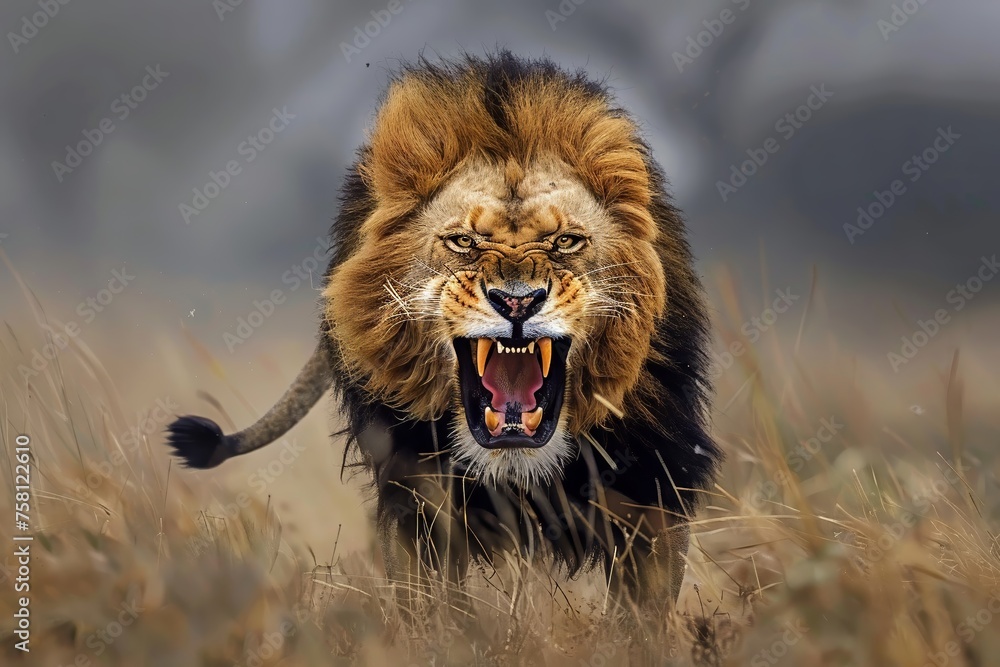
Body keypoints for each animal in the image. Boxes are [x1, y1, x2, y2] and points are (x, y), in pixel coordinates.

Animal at [166, 51, 721, 610]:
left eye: (565, 241)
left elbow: (643, 612)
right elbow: (429, 610)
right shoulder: (413, 500)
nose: (517, 300)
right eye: (463, 242)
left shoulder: (655, 486)